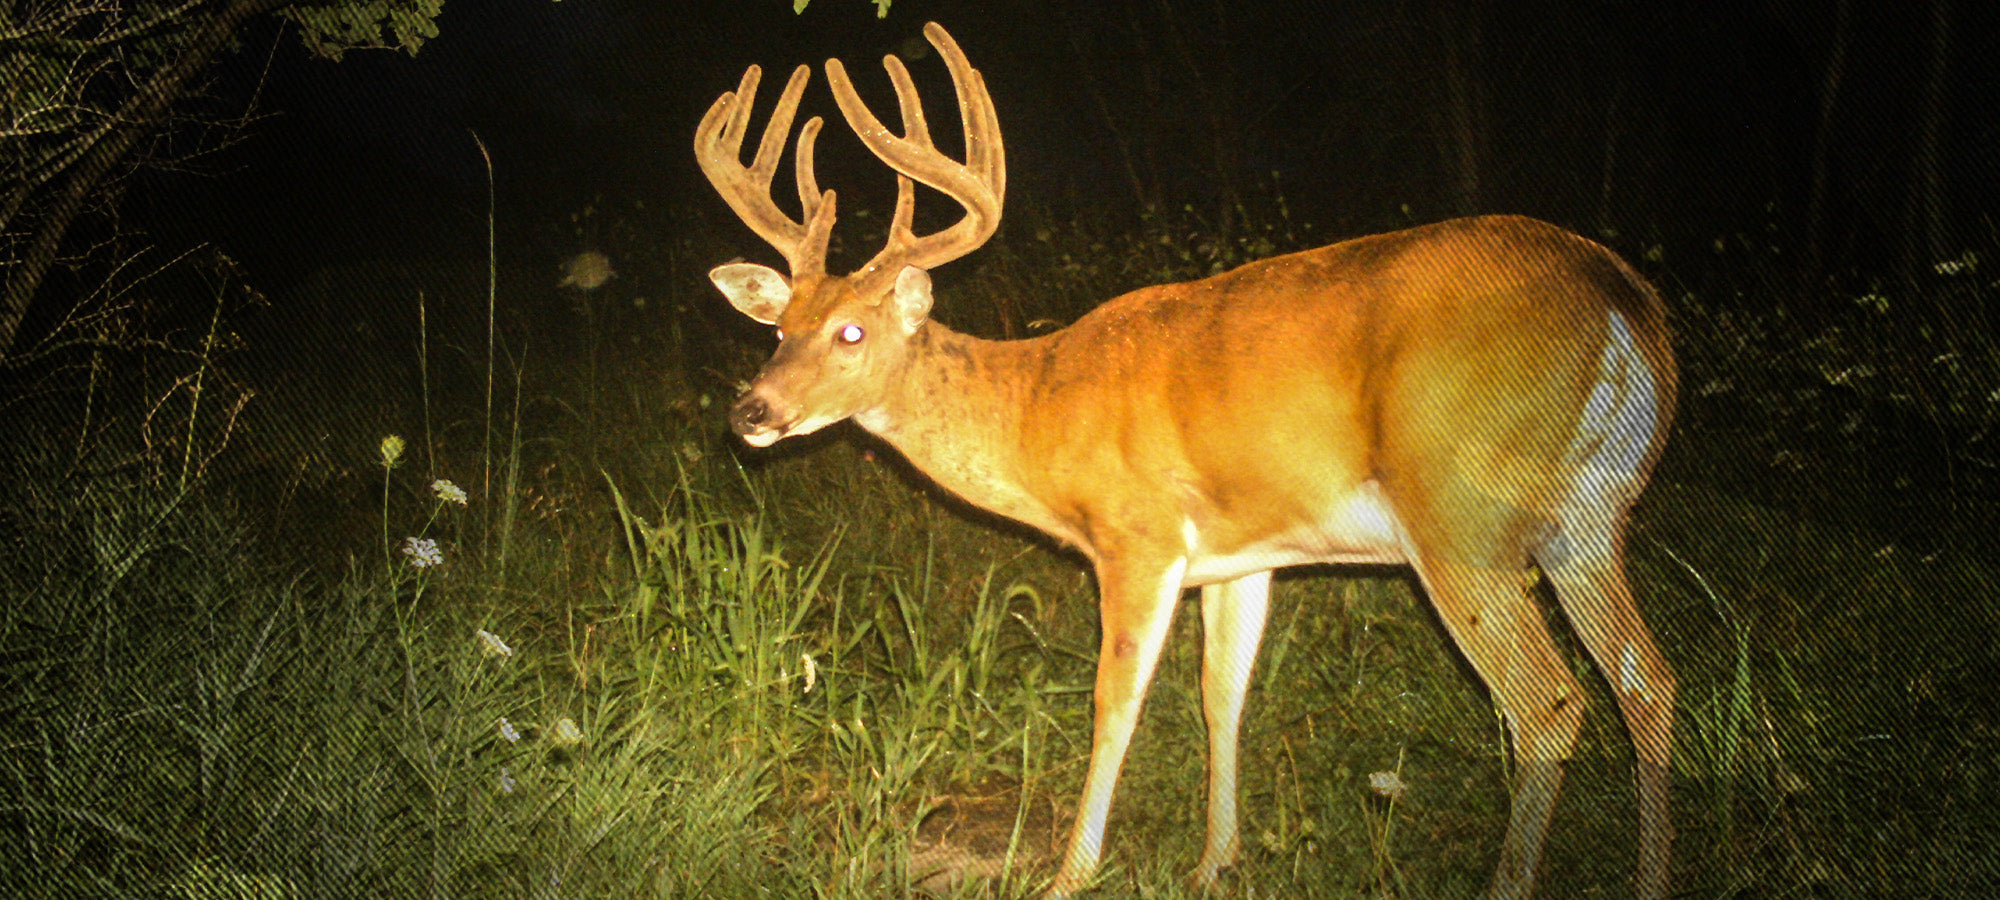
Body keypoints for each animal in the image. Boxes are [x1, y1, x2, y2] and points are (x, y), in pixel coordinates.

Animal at [694, 22, 1677, 900]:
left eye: (852, 331)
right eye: (778, 330)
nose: (752, 411)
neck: (1040, 410)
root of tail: (1624, 299)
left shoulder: (1140, 535)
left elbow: (1114, 700)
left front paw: (1071, 874)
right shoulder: (1243, 556)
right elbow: (1222, 695)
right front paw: (1215, 864)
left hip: (1460, 509)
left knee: (1548, 700)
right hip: (1591, 516)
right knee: (1648, 680)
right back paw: (1652, 878)